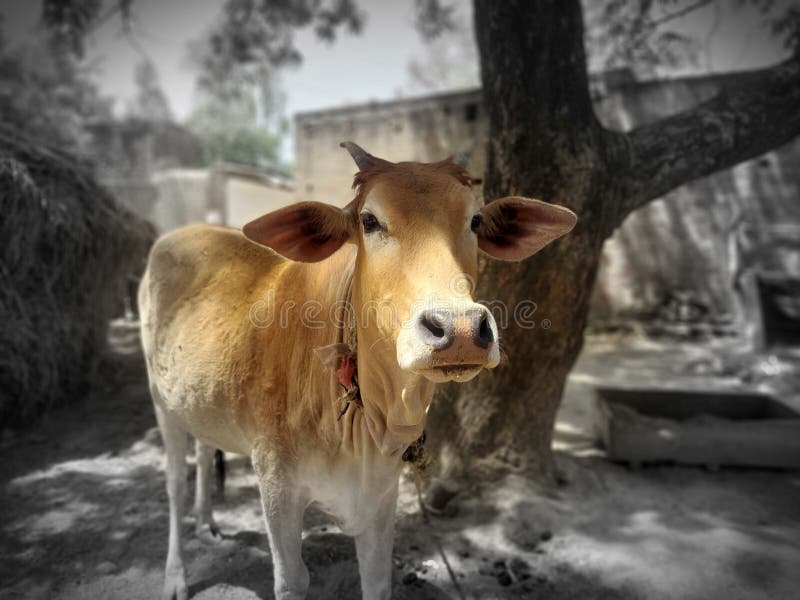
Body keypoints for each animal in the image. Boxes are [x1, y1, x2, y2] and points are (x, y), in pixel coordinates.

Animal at [138, 142, 577, 600]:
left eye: (474, 220)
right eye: (369, 220)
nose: (458, 329)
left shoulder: (382, 494)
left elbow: (377, 579)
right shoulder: (276, 484)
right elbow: (292, 580)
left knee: (206, 453)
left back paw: (207, 522)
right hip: (160, 400)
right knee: (174, 483)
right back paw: (175, 575)